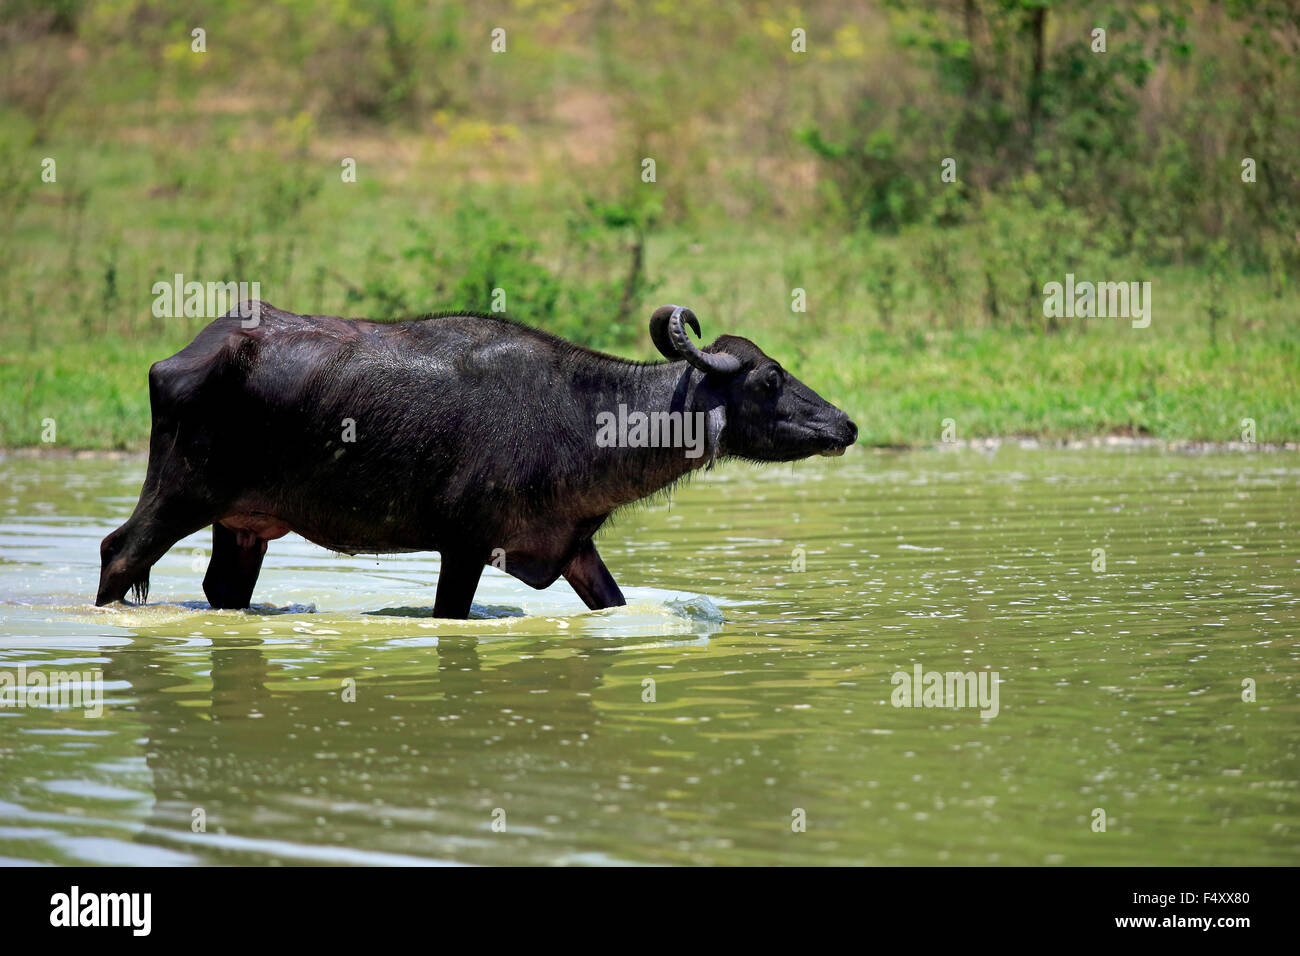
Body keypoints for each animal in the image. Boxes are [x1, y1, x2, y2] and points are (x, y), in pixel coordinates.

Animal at [96, 302, 857, 617]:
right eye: (769, 379)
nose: (845, 424)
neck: (578, 414)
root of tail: (185, 357)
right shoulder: (462, 547)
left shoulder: (570, 548)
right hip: (178, 494)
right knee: (118, 553)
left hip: (243, 526)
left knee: (222, 590)